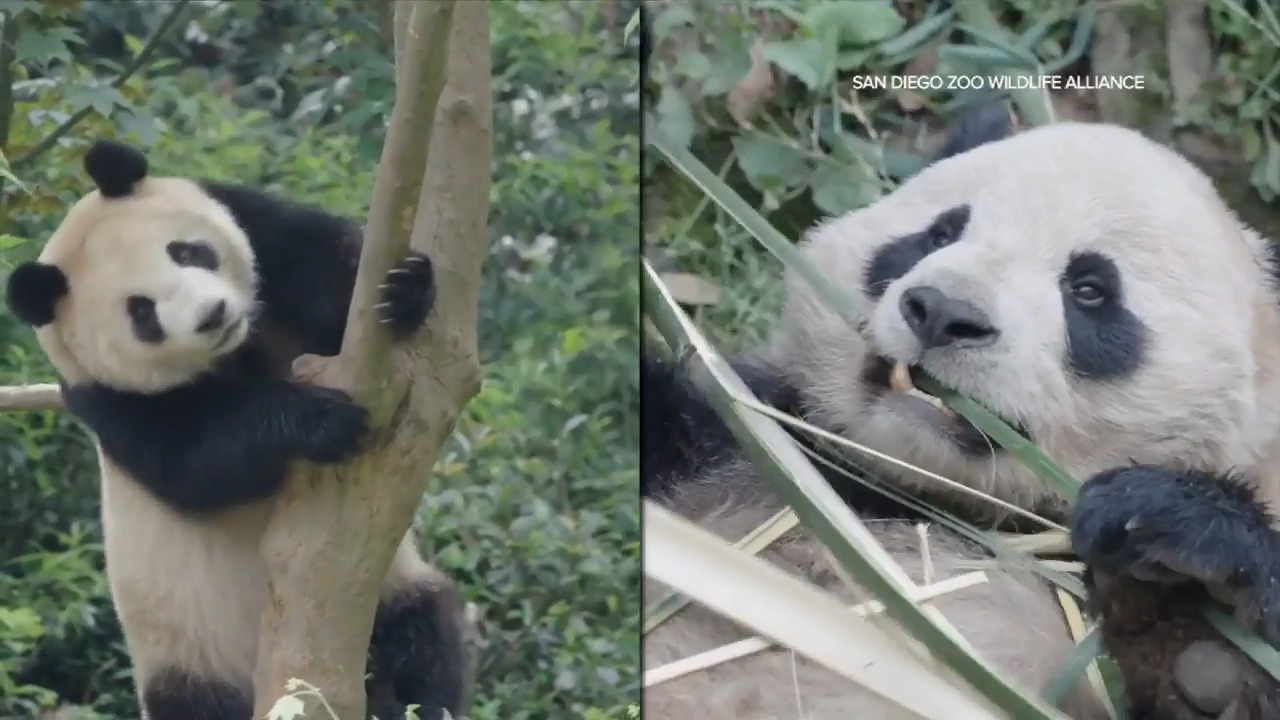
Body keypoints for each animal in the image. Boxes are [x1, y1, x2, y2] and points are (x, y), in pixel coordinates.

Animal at [4, 140, 471, 720]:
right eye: (142, 312)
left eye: (187, 253)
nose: (213, 314)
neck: (237, 348)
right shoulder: (107, 397)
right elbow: (199, 460)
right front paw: (315, 420)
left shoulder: (262, 232)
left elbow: (336, 288)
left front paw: (405, 290)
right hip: (187, 658)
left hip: (393, 586)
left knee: (422, 635)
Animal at [642, 103, 1280, 720]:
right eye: (938, 234)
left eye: (1090, 290)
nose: (942, 312)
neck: (918, 496)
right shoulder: (739, 435)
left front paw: (1181, 559)